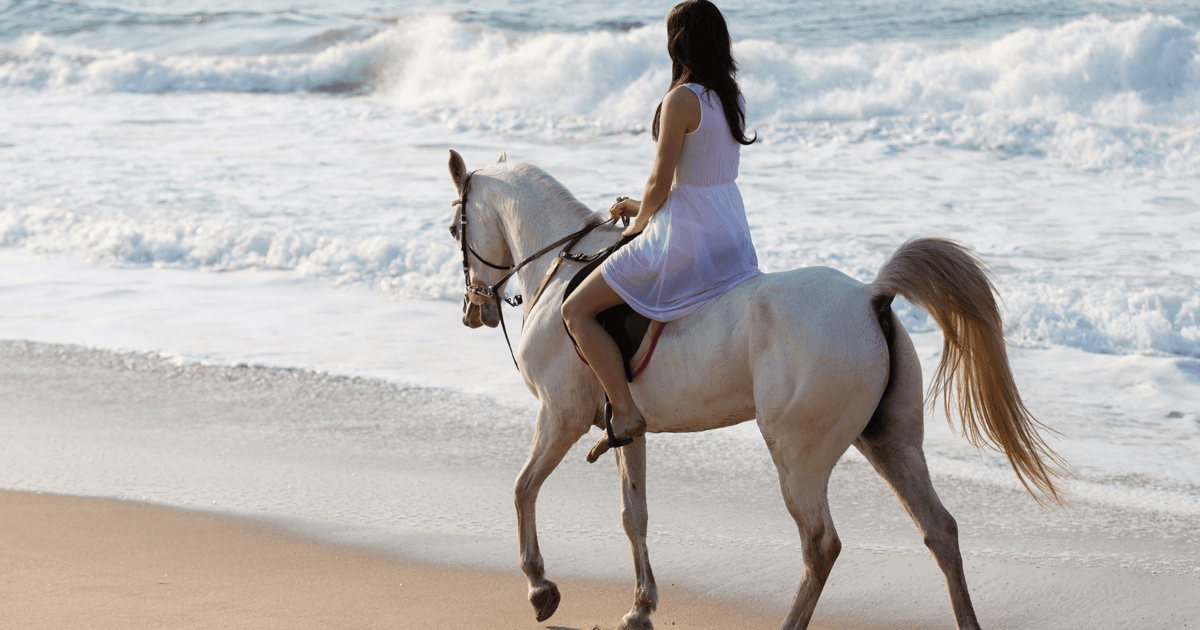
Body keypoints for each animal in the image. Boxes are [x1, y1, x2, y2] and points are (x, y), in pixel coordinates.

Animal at [445, 149, 1066, 630]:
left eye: (454, 230)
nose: (473, 311)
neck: (560, 266)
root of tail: (870, 296)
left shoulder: (561, 415)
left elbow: (523, 488)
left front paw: (539, 587)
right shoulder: (627, 430)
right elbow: (633, 515)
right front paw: (641, 608)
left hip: (798, 455)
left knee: (821, 545)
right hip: (889, 442)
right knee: (939, 531)